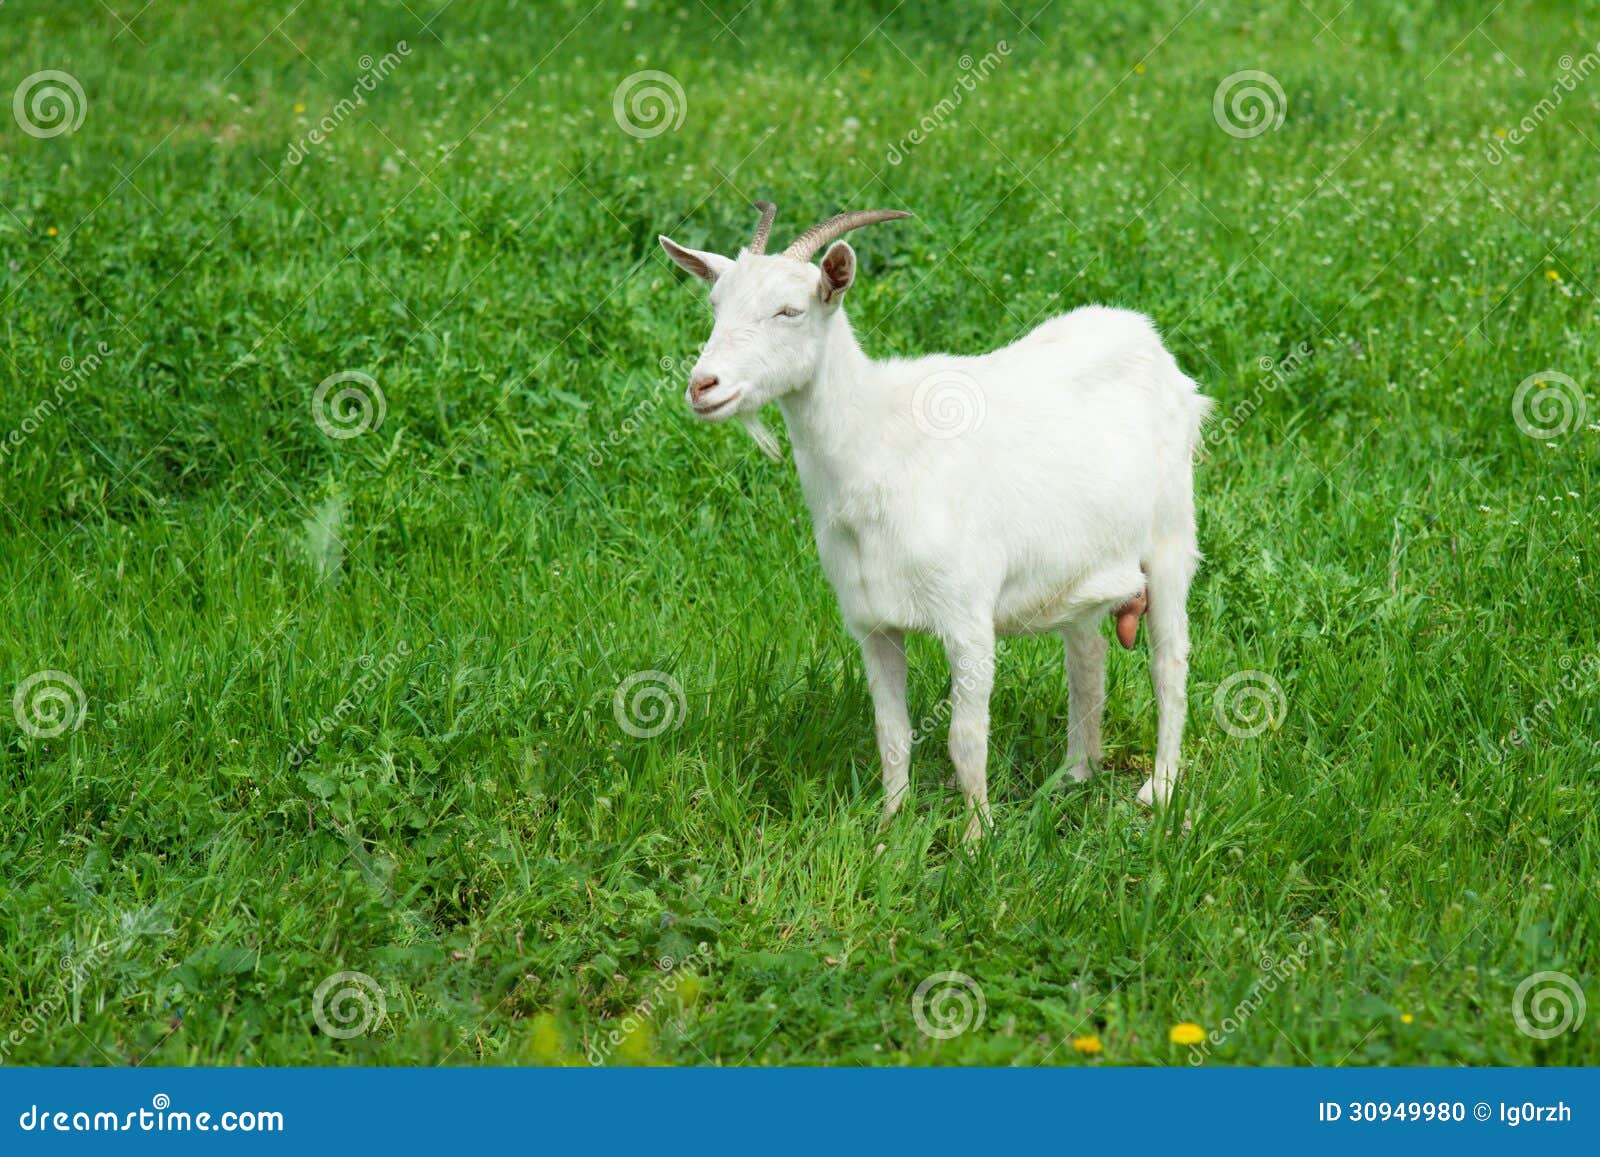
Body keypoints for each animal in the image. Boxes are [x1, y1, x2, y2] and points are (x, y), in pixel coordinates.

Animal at [660, 203, 1210, 839]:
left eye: (789, 311)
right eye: (715, 306)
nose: (703, 386)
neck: (880, 445)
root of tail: (1148, 339)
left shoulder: (968, 618)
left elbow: (965, 741)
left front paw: (976, 841)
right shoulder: (870, 623)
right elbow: (892, 735)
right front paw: (889, 829)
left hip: (1171, 539)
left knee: (1169, 663)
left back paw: (1160, 790)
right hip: (1075, 565)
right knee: (1087, 654)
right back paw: (1074, 773)